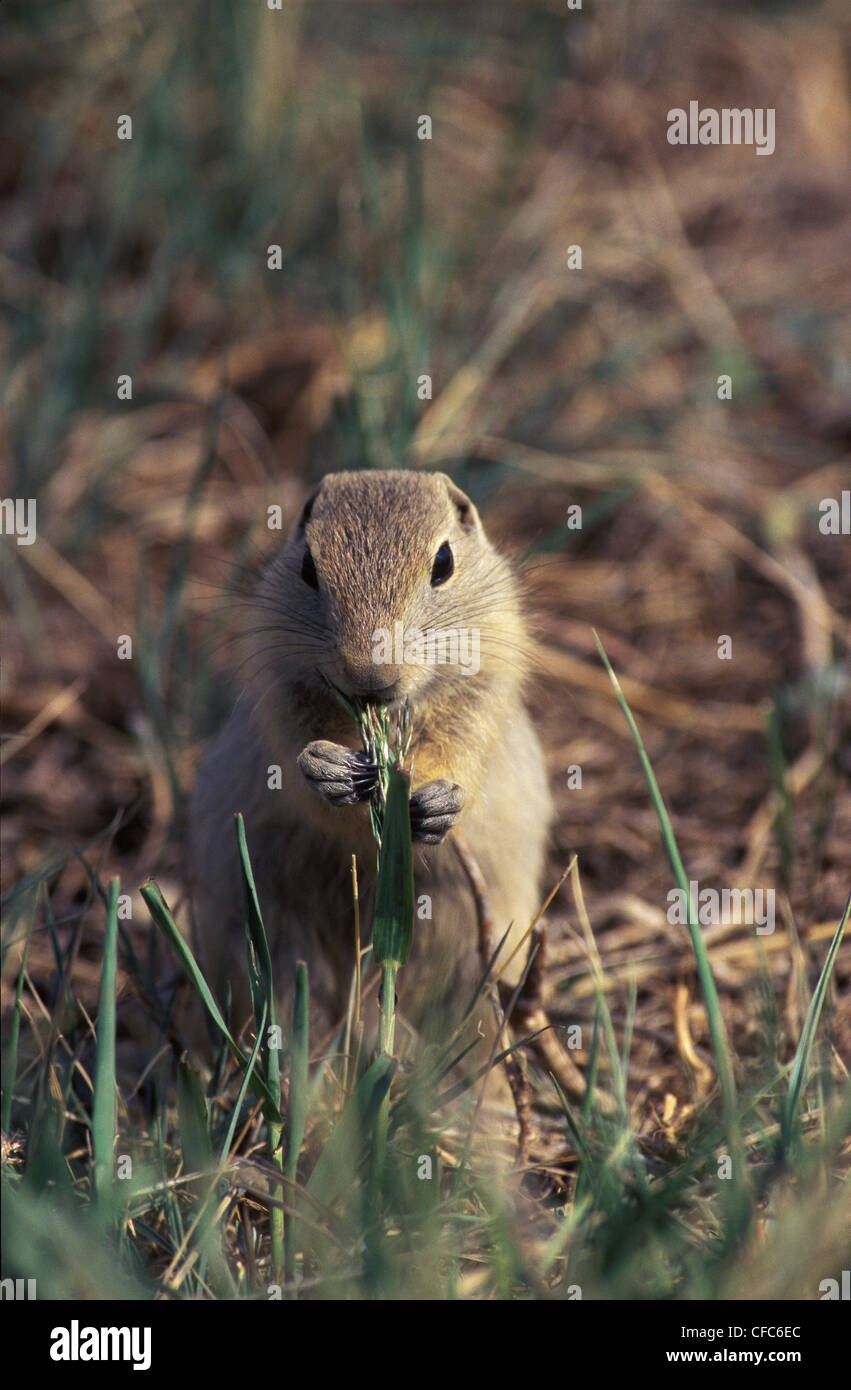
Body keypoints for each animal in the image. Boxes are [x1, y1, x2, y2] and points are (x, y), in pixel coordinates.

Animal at [189, 470, 552, 1047]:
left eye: (444, 562)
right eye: (307, 567)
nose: (370, 674)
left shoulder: (484, 686)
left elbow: (462, 749)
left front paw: (438, 800)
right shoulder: (278, 689)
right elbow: (296, 759)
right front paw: (328, 769)